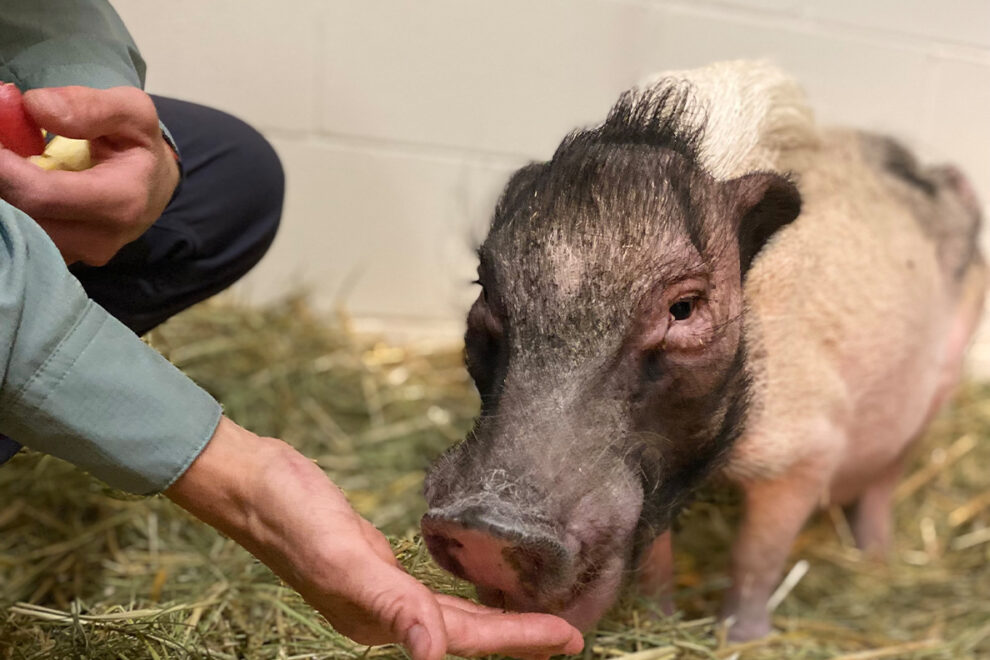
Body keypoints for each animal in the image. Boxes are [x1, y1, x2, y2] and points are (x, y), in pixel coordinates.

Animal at [421, 60, 986, 642]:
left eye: (684, 308)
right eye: (485, 289)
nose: (484, 526)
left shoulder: (808, 448)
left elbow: (756, 558)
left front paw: (741, 641)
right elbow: (654, 559)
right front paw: (660, 621)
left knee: (888, 474)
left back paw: (876, 558)